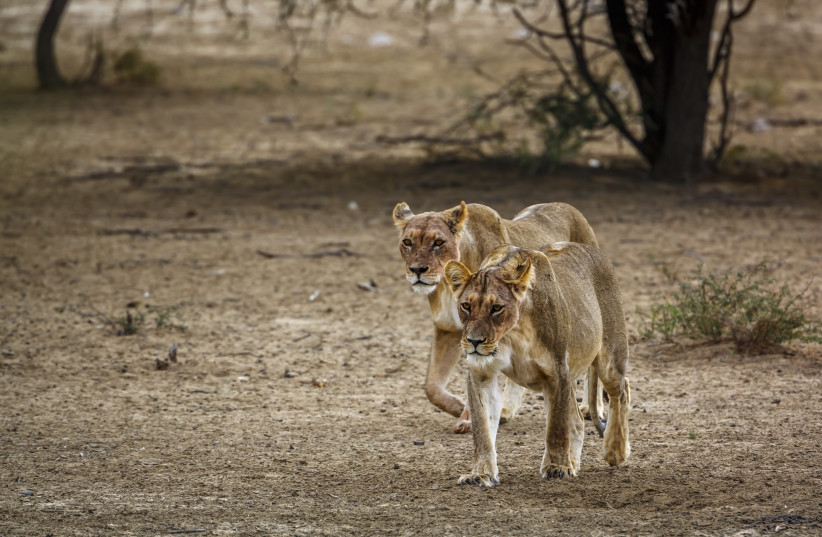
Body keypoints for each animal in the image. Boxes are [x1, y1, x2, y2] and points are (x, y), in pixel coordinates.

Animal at [393, 201, 602, 433]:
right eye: (407, 242)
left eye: (438, 242)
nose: (417, 270)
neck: (446, 284)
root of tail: (566, 206)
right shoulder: (447, 329)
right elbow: (431, 387)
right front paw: (458, 407)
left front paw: (468, 418)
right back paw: (506, 410)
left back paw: (591, 408)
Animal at [444, 242, 630, 486]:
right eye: (466, 306)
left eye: (497, 308)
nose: (474, 341)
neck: (512, 333)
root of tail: (592, 248)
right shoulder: (481, 373)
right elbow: (483, 428)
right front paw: (480, 473)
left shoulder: (557, 371)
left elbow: (556, 427)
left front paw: (558, 467)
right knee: (578, 420)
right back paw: (575, 462)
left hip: (609, 360)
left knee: (622, 391)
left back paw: (615, 451)